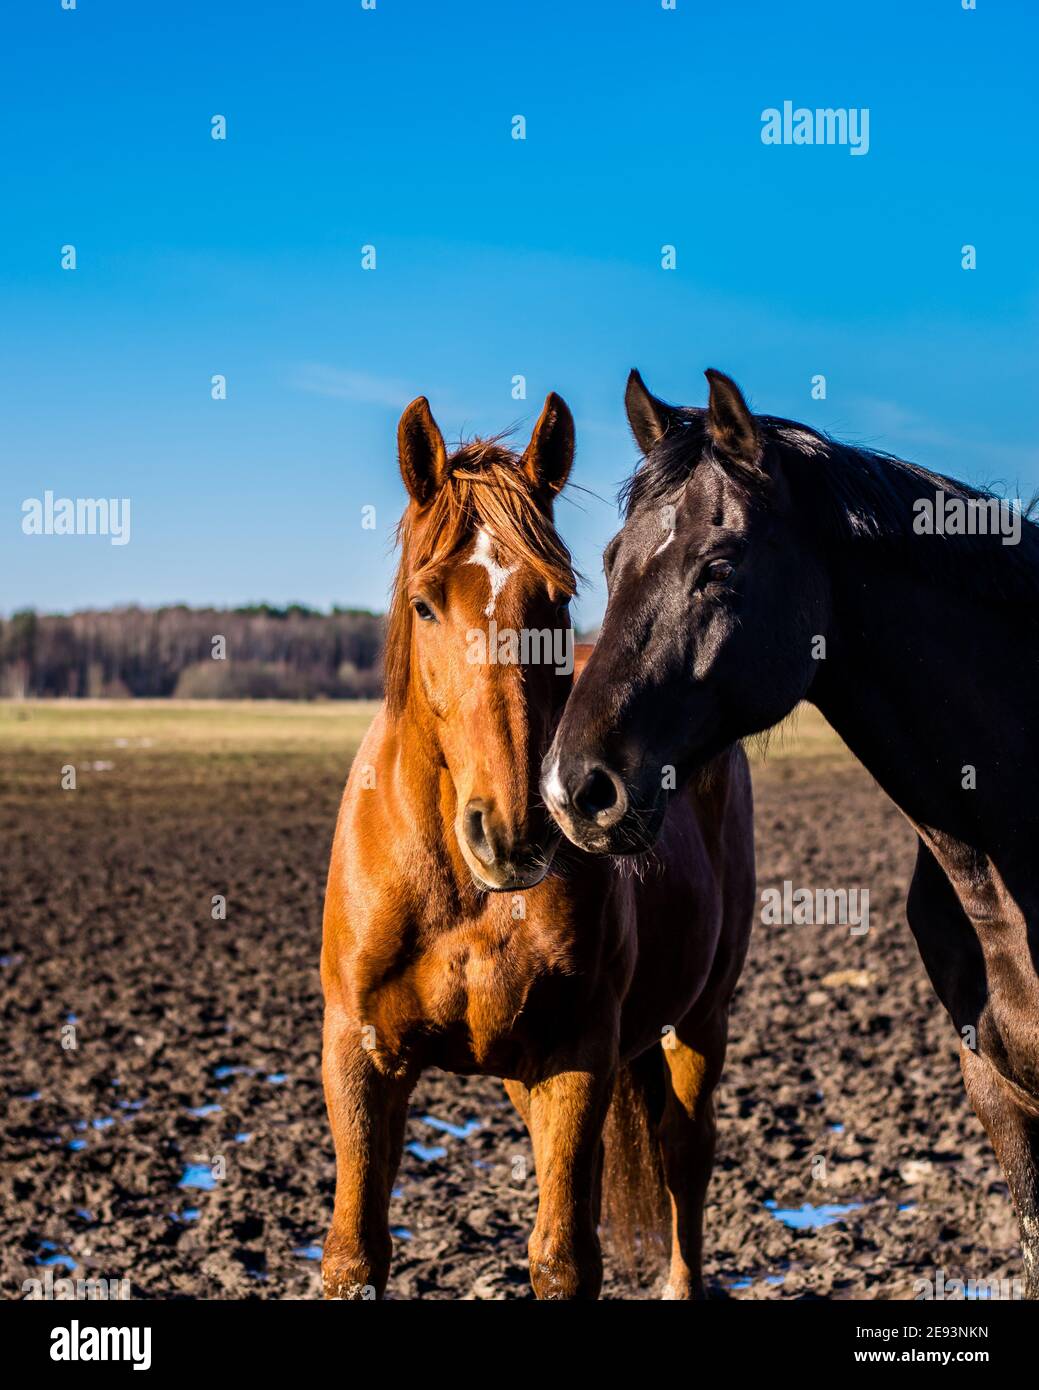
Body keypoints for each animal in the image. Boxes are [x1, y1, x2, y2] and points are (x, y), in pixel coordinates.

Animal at [320, 392, 756, 1299]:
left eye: (554, 601)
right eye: (425, 604)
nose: (515, 827)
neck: (458, 891)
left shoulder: (575, 1057)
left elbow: (562, 1258)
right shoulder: (359, 1056)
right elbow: (355, 1253)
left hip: (701, 1016)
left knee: (685, 1156)